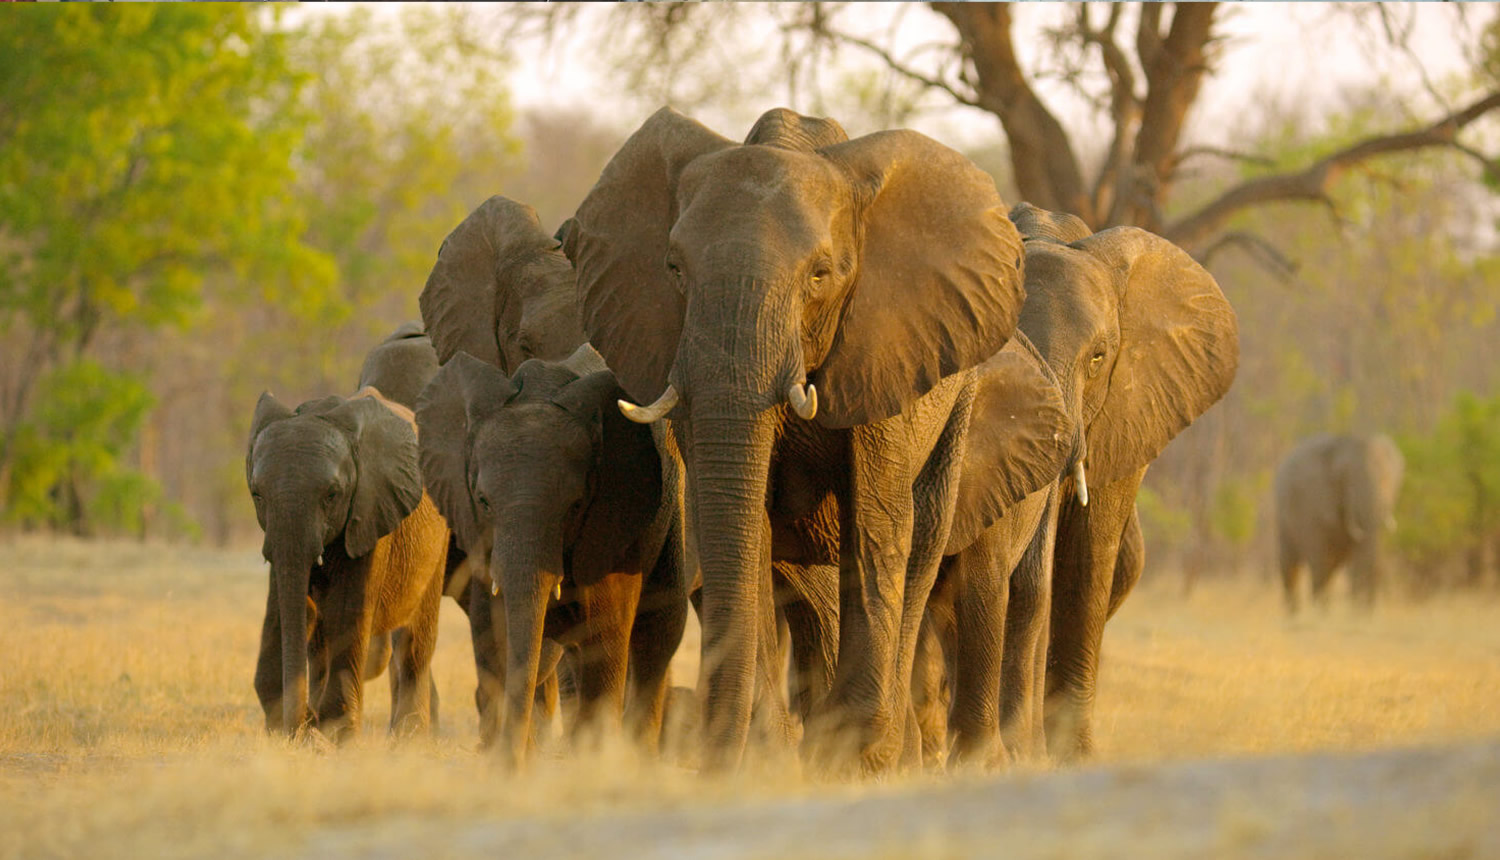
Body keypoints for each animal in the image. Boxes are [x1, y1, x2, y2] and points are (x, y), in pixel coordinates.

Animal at [247, 386, 449, 743]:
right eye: (257, 495)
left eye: (332, 495)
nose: (303, 723)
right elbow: (284, 607)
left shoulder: (370, 510)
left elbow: (347, 610)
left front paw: (335, 736)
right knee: (319, 642)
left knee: (415, 640)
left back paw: (409, 738)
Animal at [415, 343, 687, 765]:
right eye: (483, 501)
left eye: (575, 506)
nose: (511, 764)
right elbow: (497, 635)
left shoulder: (614, 518)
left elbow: (605, 634)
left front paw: (593, 760)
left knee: (657, 634)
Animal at [562, 106, 1033, 772]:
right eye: (674, 269)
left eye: (820, 275)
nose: (712, 756)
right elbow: (741, 524)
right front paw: (771, 754)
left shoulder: (882, 345)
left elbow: (876, 521)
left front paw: (854, 755)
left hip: (959, 398)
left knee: (920, 543)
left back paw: (891, 750)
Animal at [1275, 432, 1404, 613]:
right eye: (1347, 481)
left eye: (1388, 481)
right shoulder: (1312, 501)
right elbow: (1319, 558)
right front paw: (1322, 616)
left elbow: (1360, 559)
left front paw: (1360, 615)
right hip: (1282, 519)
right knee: (1293, 568)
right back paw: (1296, 615)